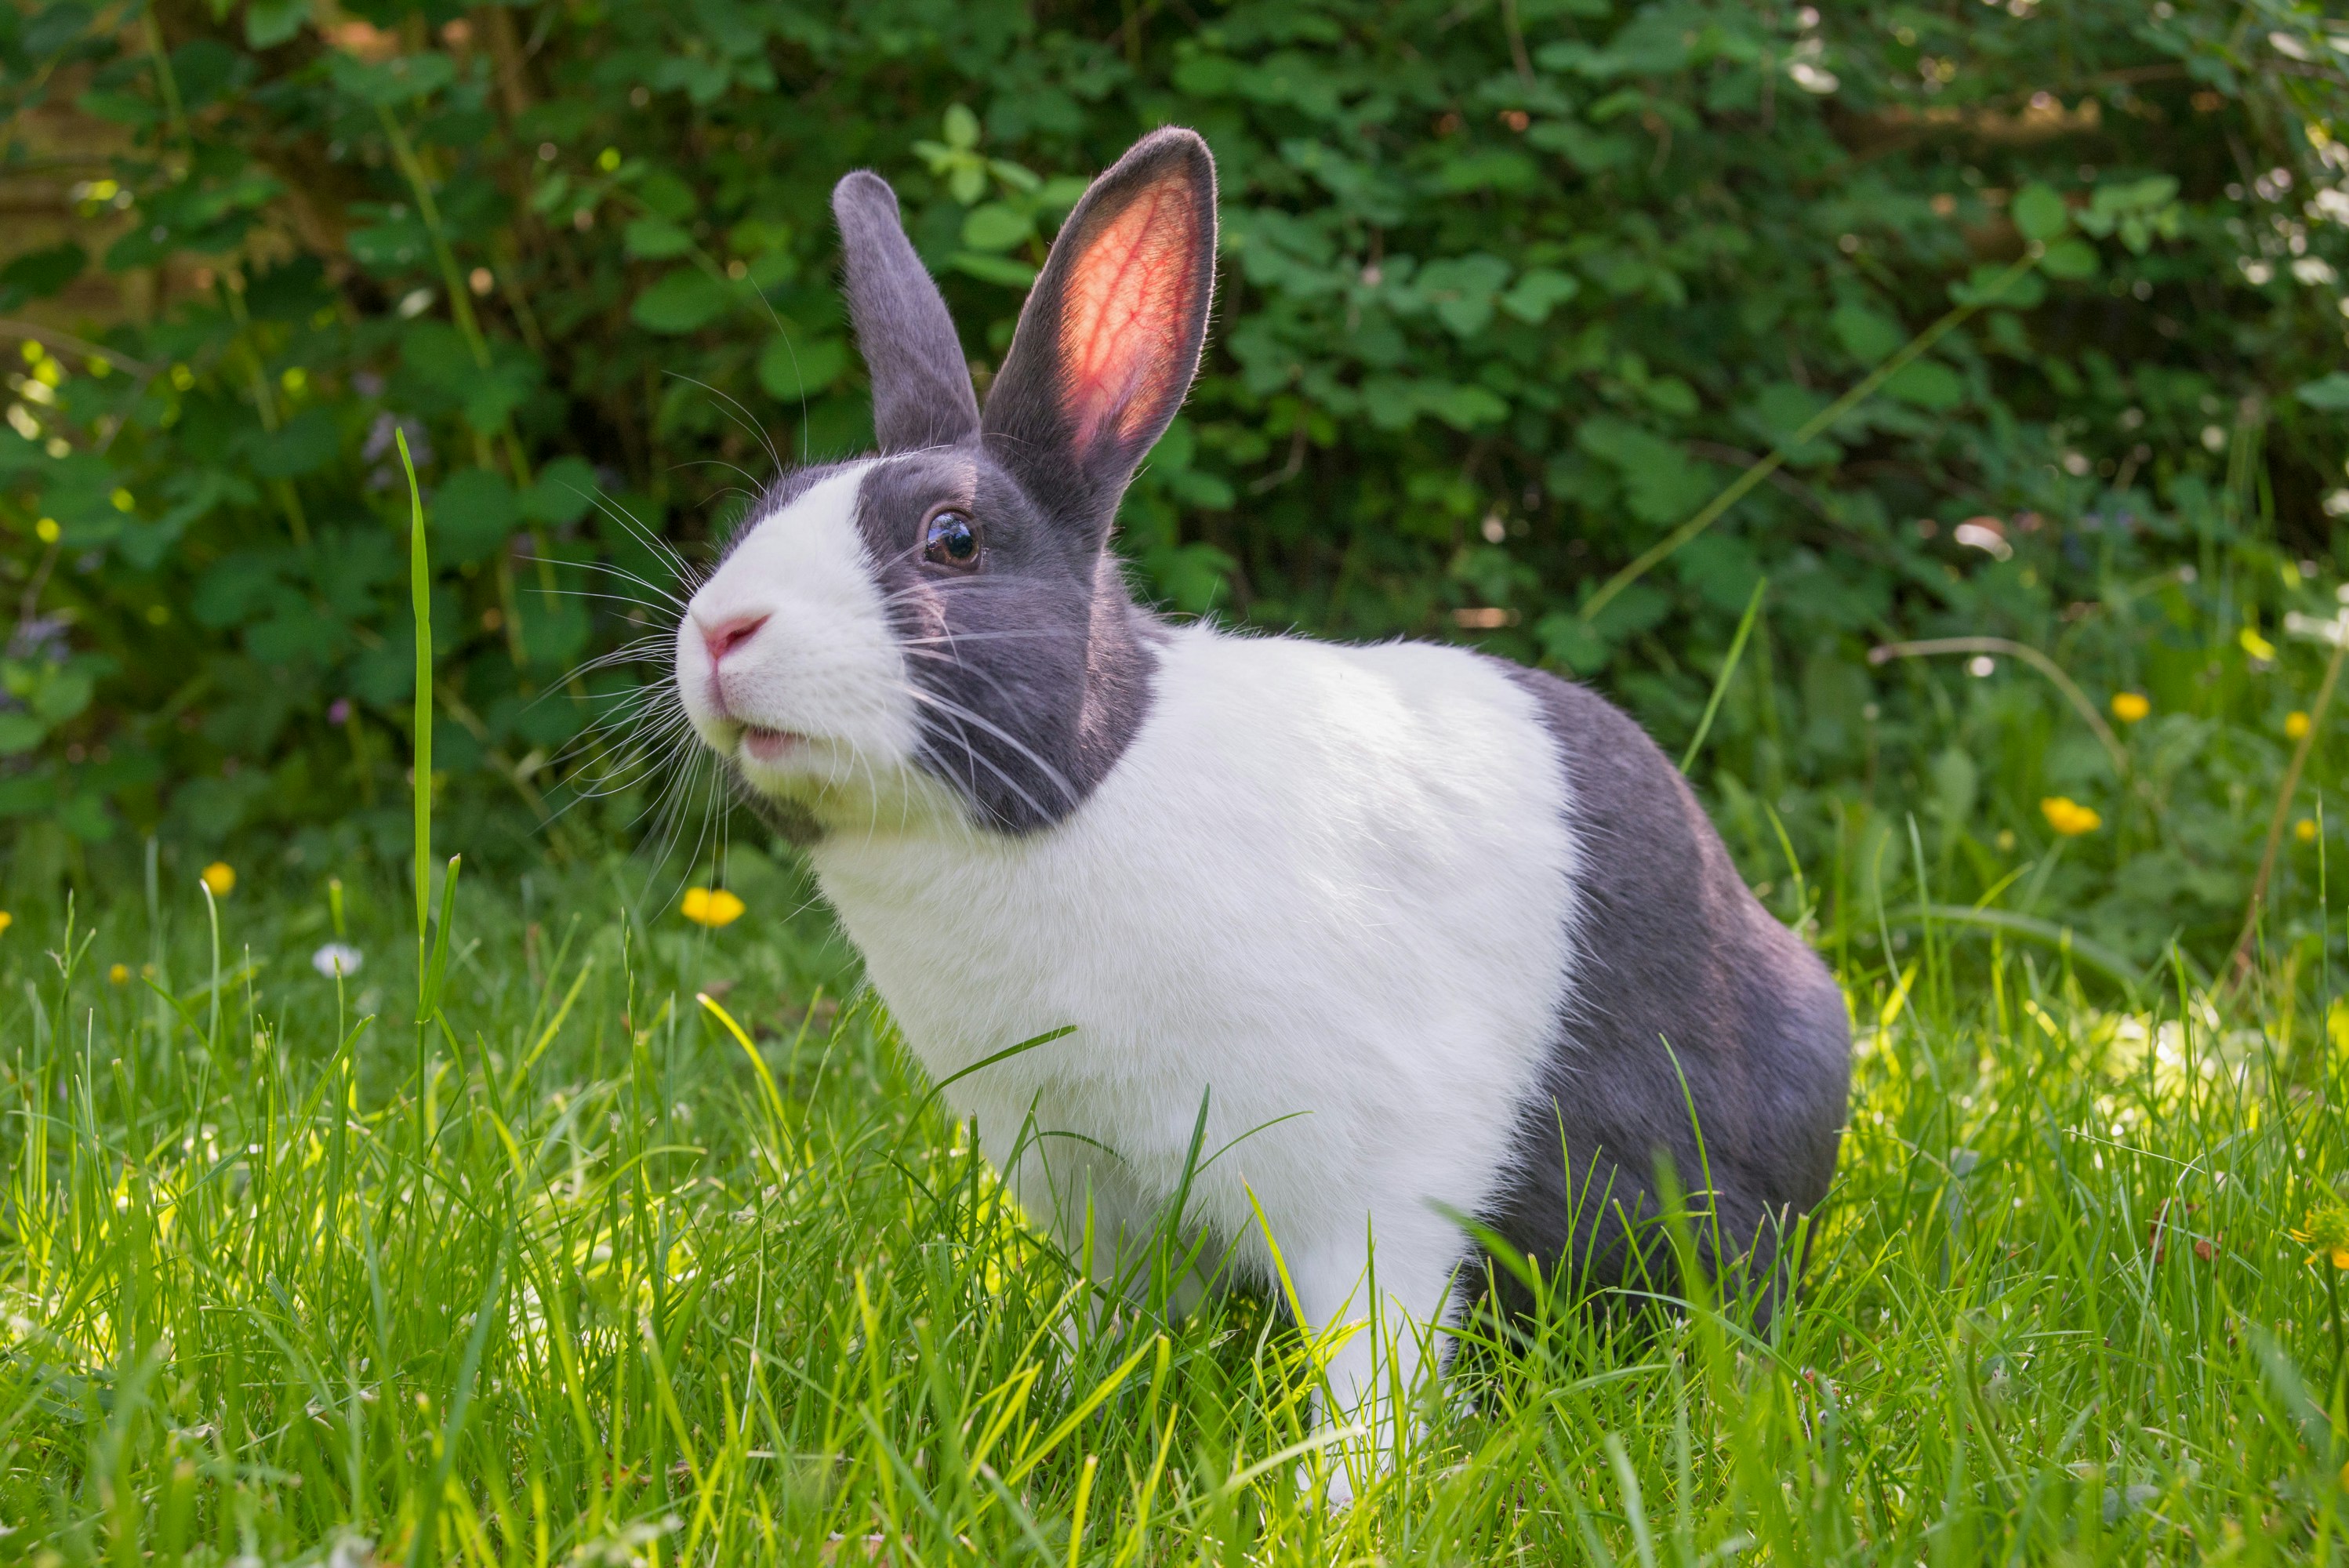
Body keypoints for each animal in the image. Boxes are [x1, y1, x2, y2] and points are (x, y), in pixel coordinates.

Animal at [673, 127, 1851, 1501]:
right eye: (764, 511)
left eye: (951, 539)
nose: (719, 632)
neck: (1078, 796)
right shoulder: (1089, 1185)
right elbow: (1110, 1321)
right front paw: (1061, 1409)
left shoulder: (1369, 1185)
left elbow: (1376, 1351)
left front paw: (1342, 1501)